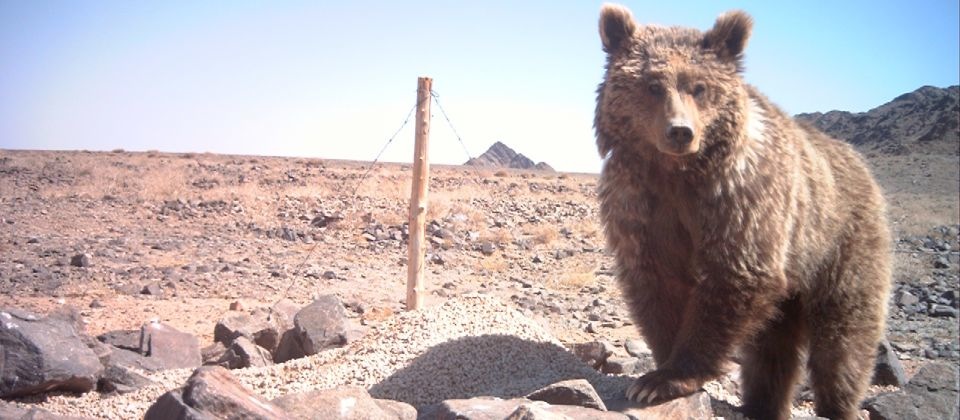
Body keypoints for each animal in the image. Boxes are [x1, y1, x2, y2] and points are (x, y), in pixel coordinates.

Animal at [593, 4, 892, 420]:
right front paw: (656, 369)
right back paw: (763, 402)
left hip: (841, 241)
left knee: (842, 338)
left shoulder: (741, 197)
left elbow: (734, 273)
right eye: (653, 85)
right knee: (772, 346)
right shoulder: (640, 200)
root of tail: (861, 165)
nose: (680, 131)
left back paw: (839, 403)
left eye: (699, 87)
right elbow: (656, 278)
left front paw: (667, 378)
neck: (679, 173)